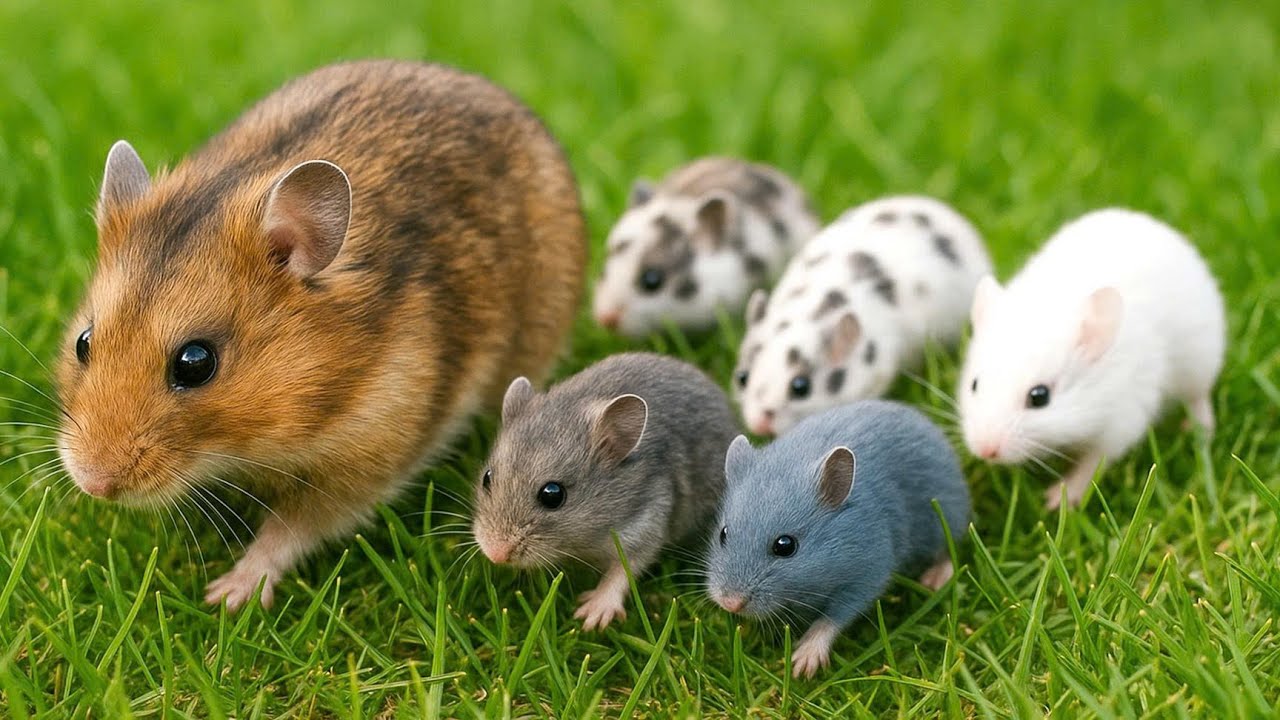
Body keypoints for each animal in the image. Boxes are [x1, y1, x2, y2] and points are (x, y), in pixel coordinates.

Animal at [54, 60, 586, 610]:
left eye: (196, 362)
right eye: (83, 343)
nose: (93, 484)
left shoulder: (364, 459)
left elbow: (290, 531)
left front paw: (227, 598)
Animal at [472, 352, 739, 630]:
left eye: (552, 495)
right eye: (487, 478)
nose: (495, 554)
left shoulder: (646, 524)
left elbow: (623, 571)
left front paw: (590, 618)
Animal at [706, 401, 970, 678]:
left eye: (785, 546)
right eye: (723, 534)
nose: (730, 604)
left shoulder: (869, 572)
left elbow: (833, 618)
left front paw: (803, 665)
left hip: (947, 518)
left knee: (946, 552)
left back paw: (934, 580)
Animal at [959, 208, 1224, 509]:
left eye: (1039, 397)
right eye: (974, 385)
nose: (984, 451)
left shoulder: (1120, 425)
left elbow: (1091, 466)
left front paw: (1055, 501)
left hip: (1200, 364)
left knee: (1199, 398)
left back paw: (1197, 430)